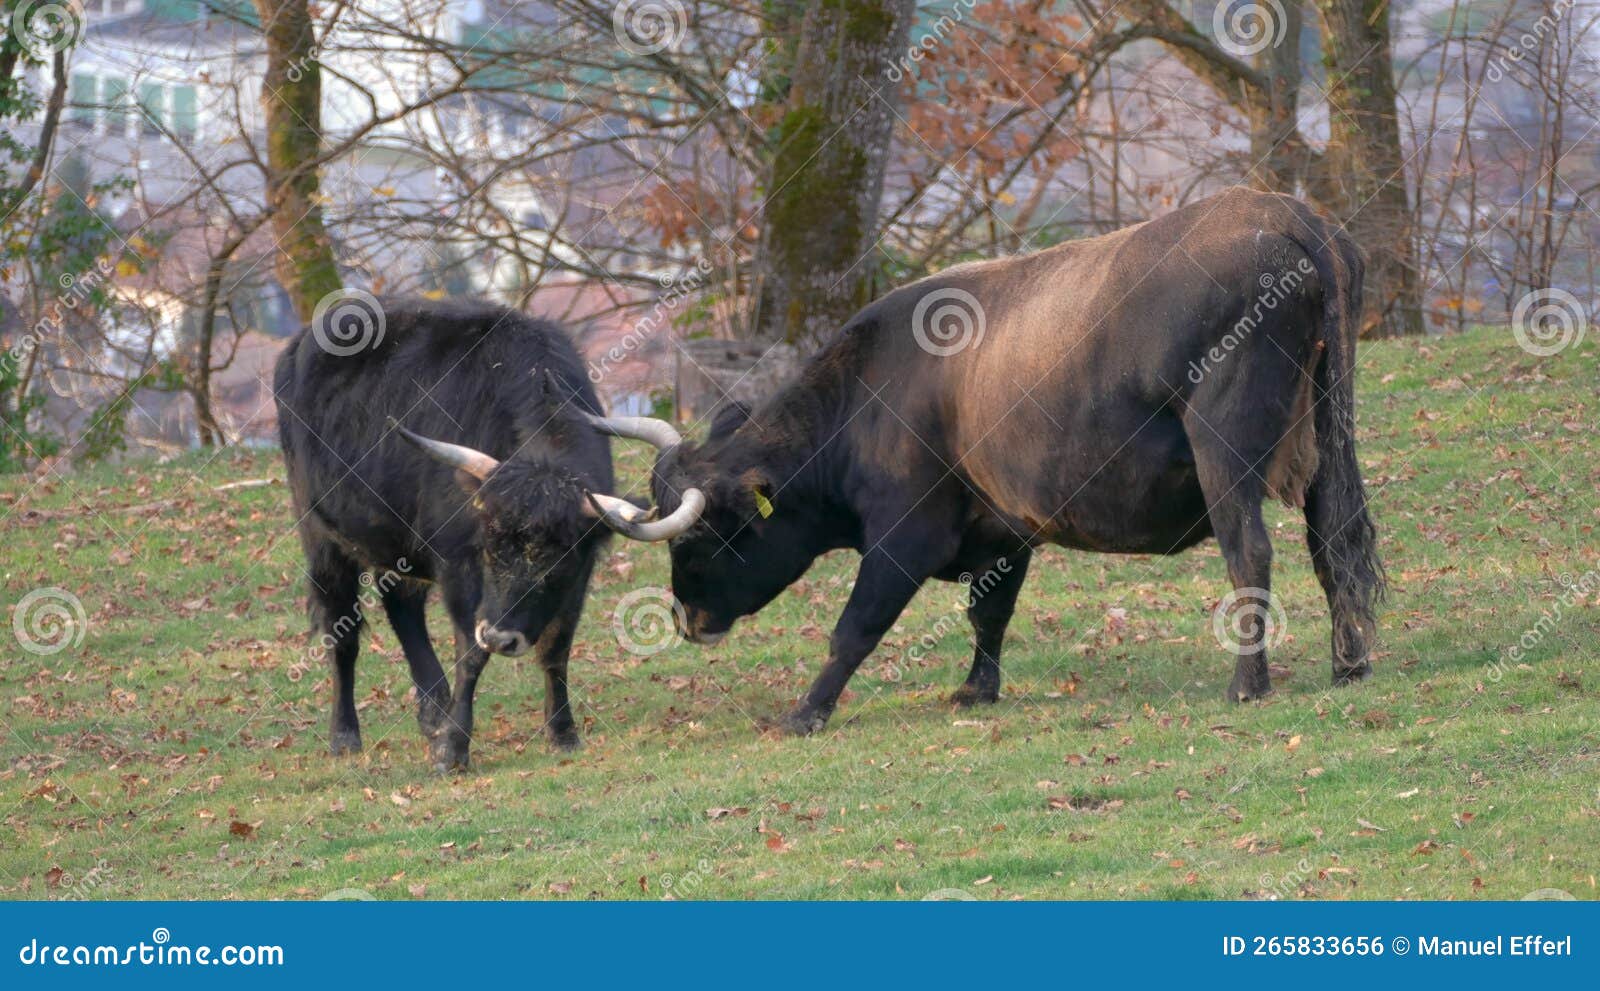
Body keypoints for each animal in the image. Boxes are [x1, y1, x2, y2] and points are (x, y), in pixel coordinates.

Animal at [274, 299, 616, 769]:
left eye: (556, 562)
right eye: (490, 549)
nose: (502, 637)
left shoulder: (578, 577)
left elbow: (556, 648)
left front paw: (563, 732)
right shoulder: (457, 564)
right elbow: (470, 654)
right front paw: (453, 749)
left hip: (395, 542)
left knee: (402, 607)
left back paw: (433, 713)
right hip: (322, 538)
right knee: (341, 631)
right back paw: (345, 735)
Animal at [582, 188, 1386, 735]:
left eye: (702, 537)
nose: (687, 618)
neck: (874, 388)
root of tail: (1278, 208)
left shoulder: (904, 536)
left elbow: (855, 626)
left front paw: (807, 711)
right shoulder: (1004, 530)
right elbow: (989, 613)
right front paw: (977, 689)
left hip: (1225, 458)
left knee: (1251, 553)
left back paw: (1248, 683)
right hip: (1326, 446)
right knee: (1333, 544)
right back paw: (1349, 665)